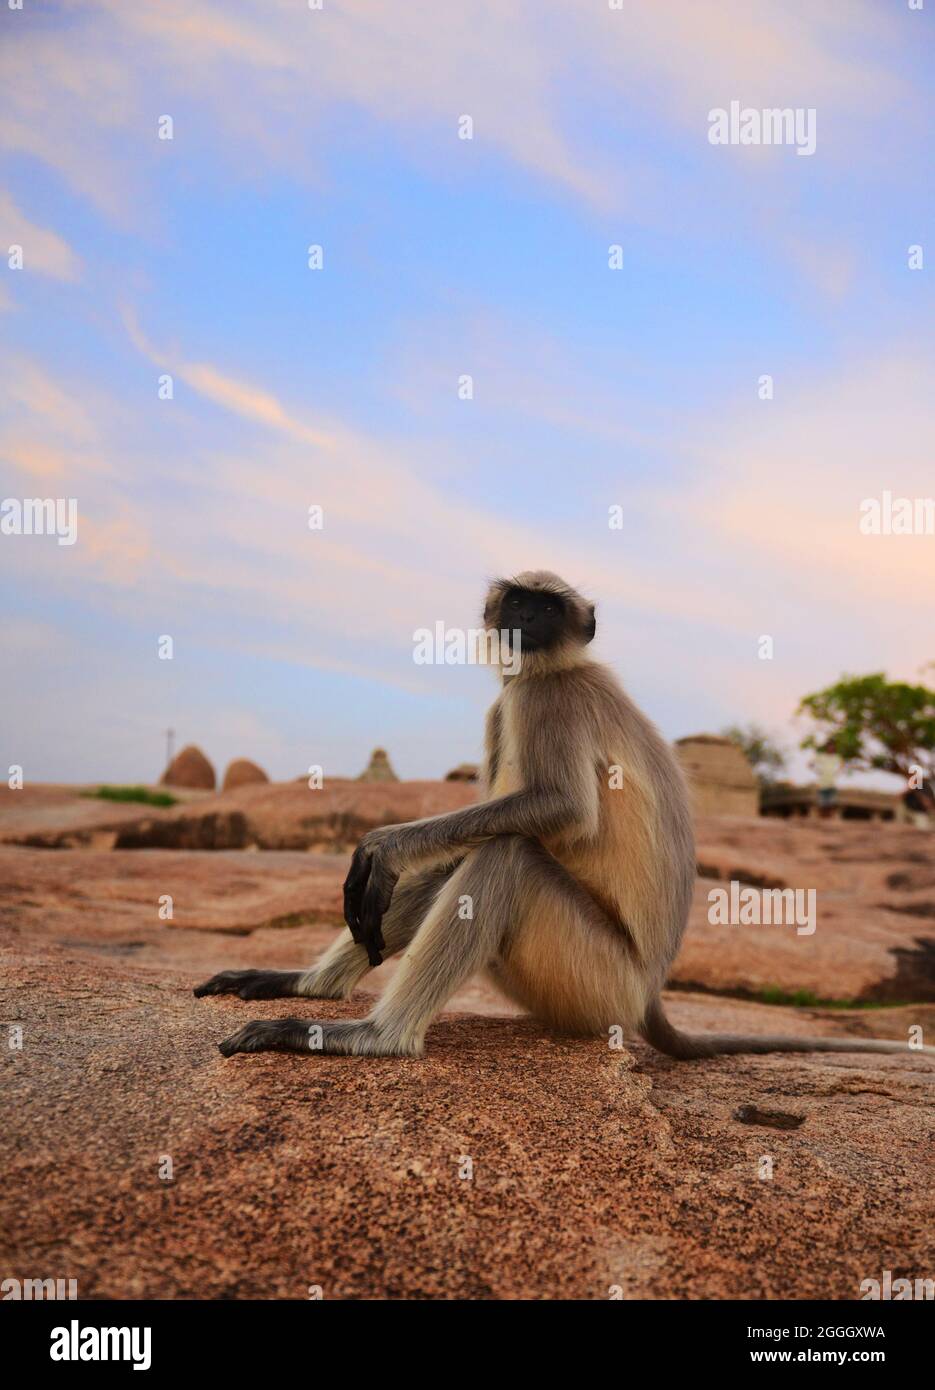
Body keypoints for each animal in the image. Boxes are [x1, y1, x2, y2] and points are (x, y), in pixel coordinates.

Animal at [195, 570, 935, 1066]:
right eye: (519, 601)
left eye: (549, 608)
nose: (525, 621)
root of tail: (647, 999)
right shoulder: (505, 706)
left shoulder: (543, 699)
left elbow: (558, 810)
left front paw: (382, 845)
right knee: (471, 851)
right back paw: (309, 989)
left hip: (592, 983)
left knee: (508, 852)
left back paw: (377, 1038)